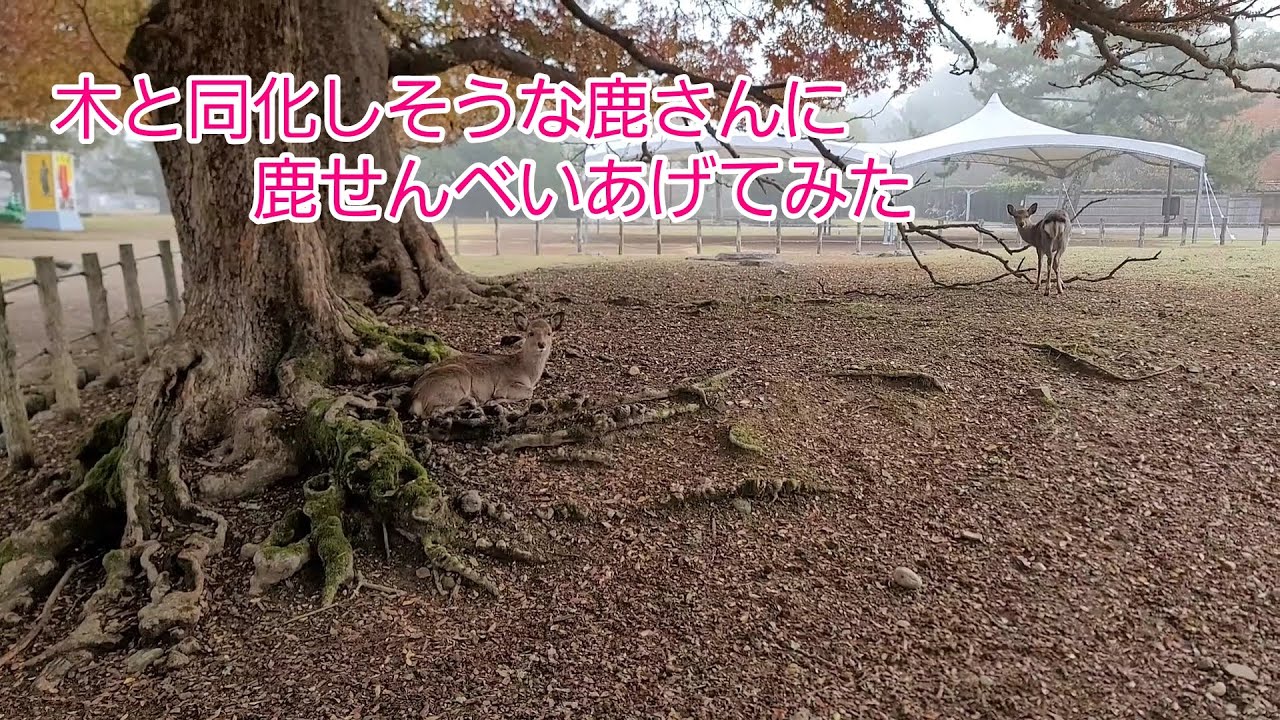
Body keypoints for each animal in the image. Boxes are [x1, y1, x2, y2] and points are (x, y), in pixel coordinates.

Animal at [407, 311, 565, 418]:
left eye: (549, 333)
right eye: (530, 333)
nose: (541, 344)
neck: (527, 373)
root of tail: (416, 397)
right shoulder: (505, 384)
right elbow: (529, 392)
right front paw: (494, 400)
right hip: (458, 380)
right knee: (433, 412)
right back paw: (472, 403)